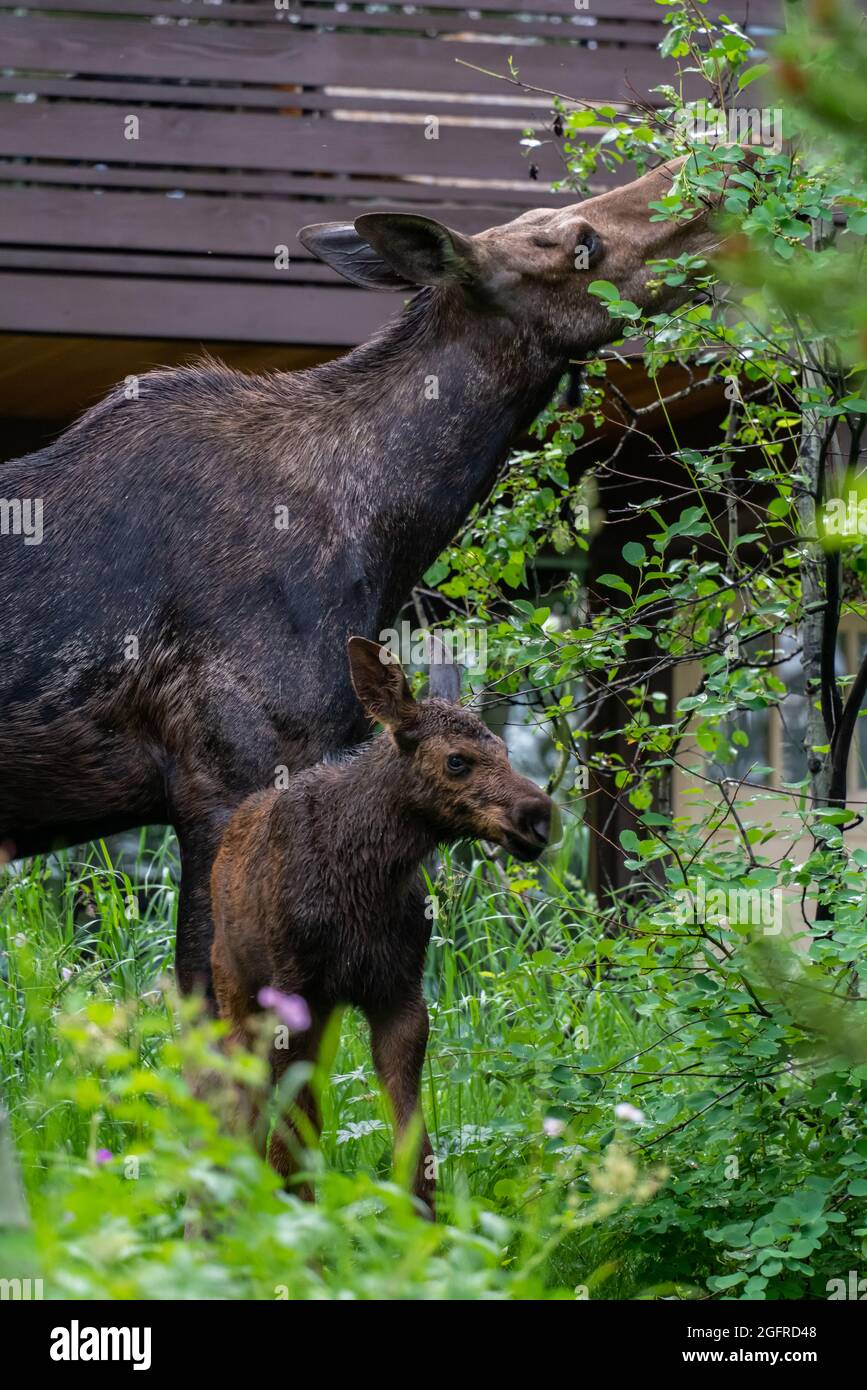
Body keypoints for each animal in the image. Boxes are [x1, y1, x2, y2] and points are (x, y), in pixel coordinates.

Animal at [210, 636, 554, 1212]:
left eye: (506, 753)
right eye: (457, 760)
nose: (539, 816)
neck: (368, 877)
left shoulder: (400, 994)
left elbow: (414, 1141)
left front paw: (423, 1222)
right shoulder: (293, 992)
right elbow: (293, 1131)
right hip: (235, 987)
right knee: (243, 1095)